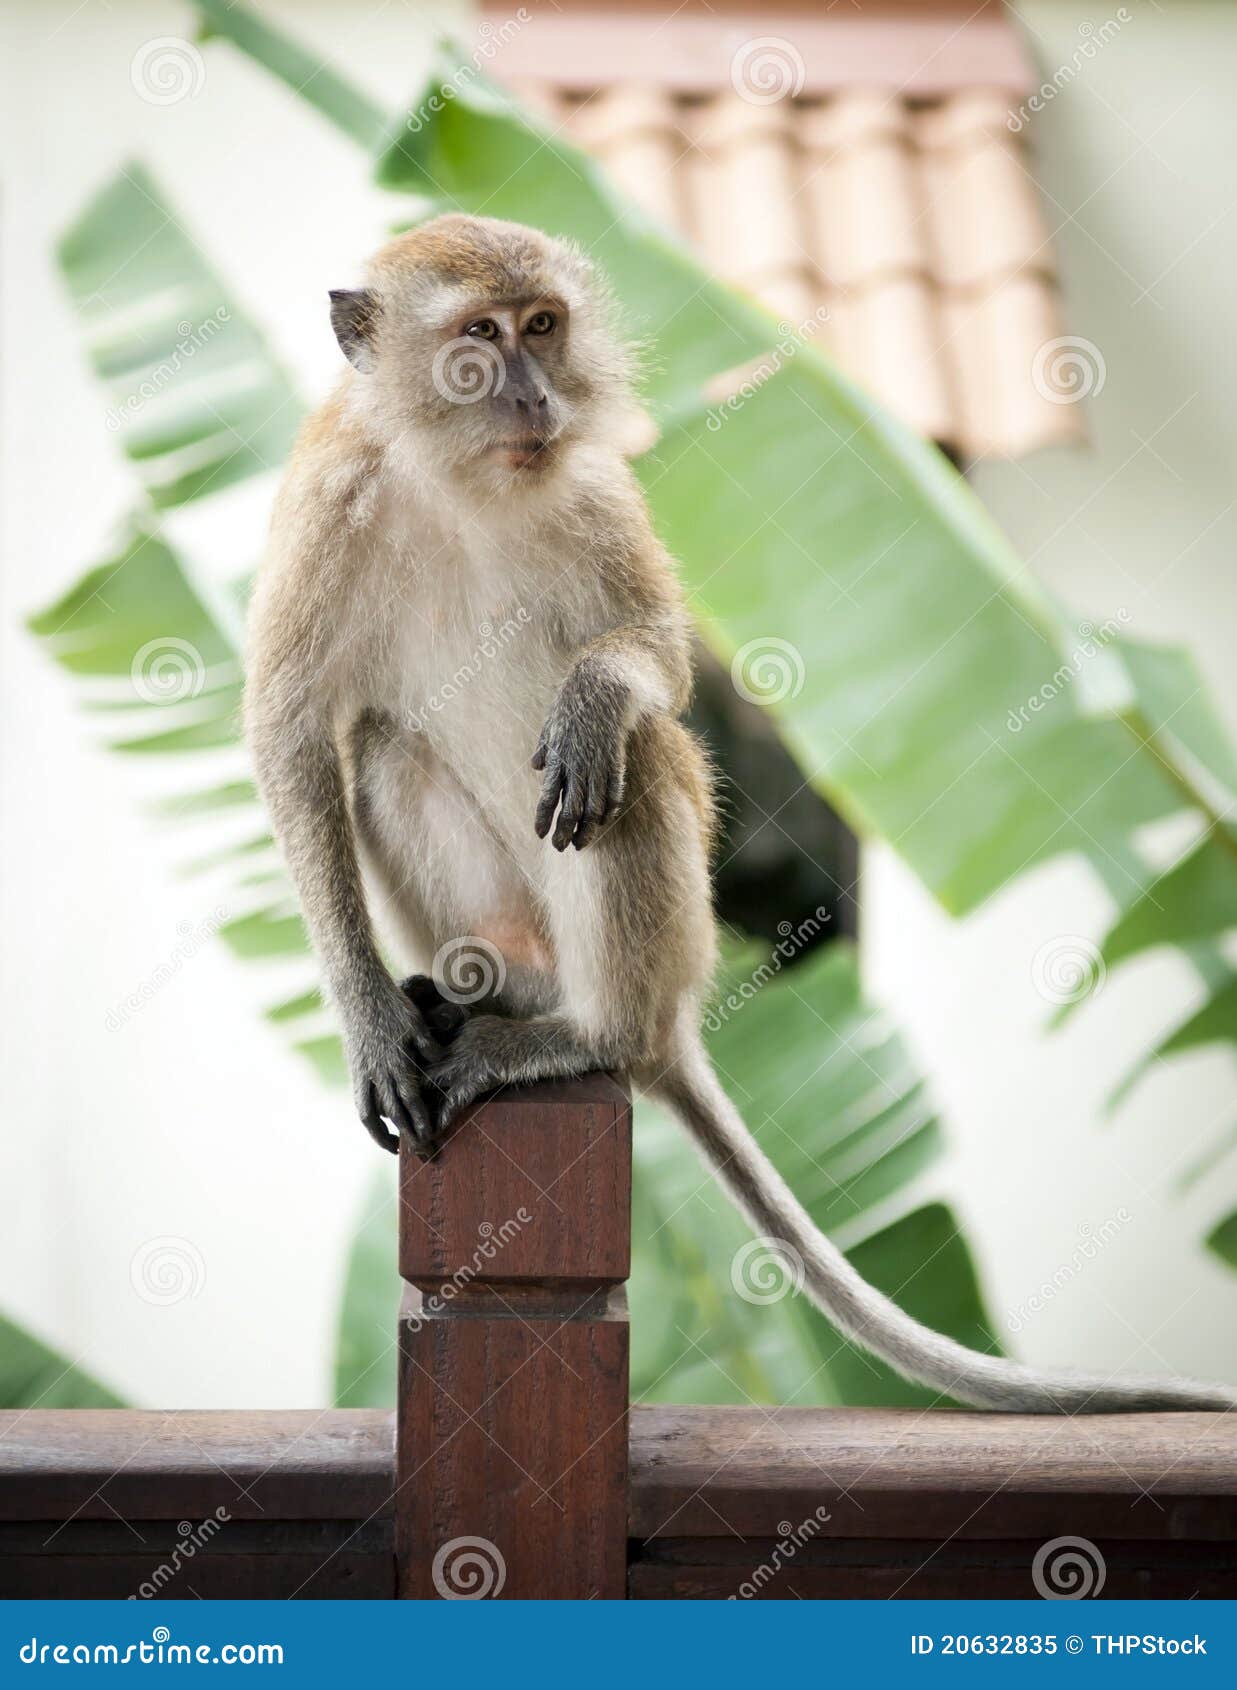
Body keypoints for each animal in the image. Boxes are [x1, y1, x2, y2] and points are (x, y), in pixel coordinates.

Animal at [246, 213, 1234, 1416]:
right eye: (479, 338)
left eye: (542, 325)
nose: (535, 396)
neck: (463, 480)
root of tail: (661, 1018)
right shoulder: (326, 496)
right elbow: (291, 733)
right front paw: (371, 1020)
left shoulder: (596, 484)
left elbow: (658, 672)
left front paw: (597, 692)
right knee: (386, 747)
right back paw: (500, 996)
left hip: (664, 936)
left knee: (625, 774)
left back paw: (586, 1033)